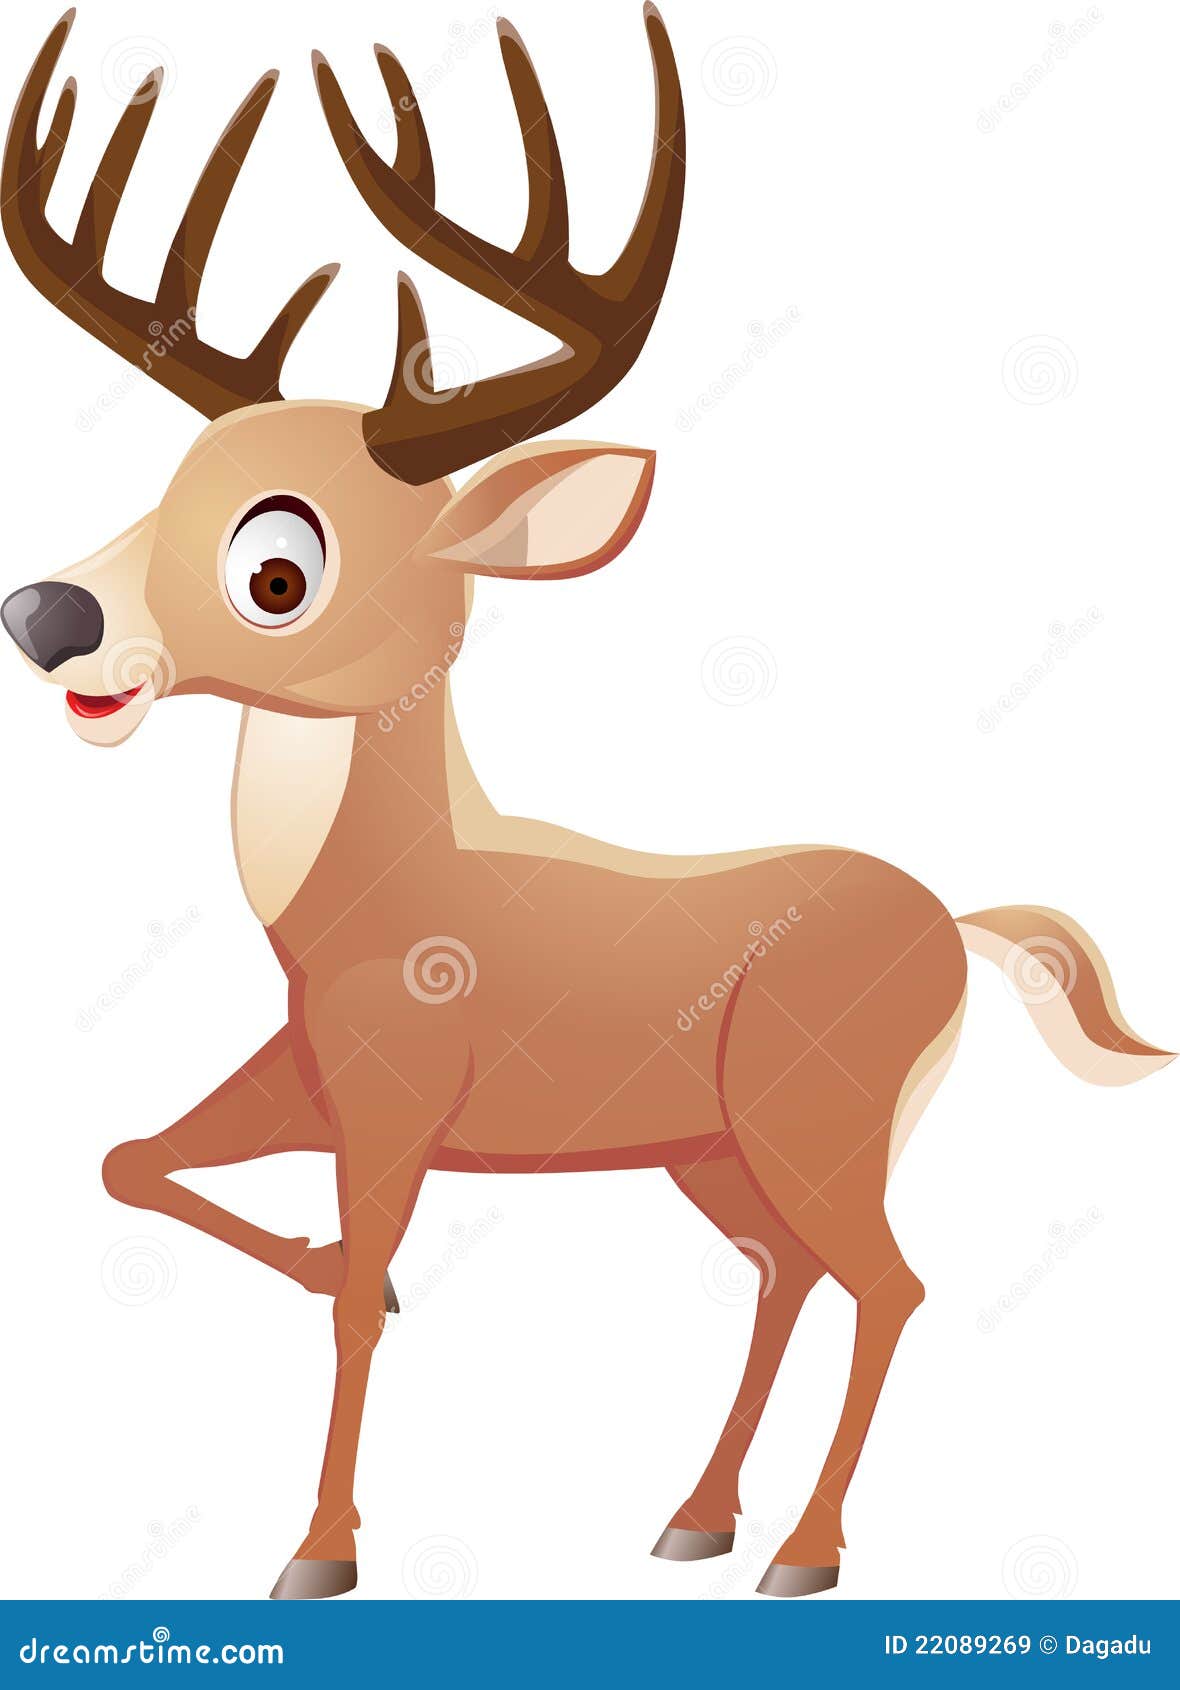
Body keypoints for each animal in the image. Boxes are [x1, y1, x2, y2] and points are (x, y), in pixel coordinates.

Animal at [1, 7, 1172, 1603]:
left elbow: (348, 1303)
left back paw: (800, 1552)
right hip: (716, 1152)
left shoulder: (398, 1097)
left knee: (891, 1279)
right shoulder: (300, 1078)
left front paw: (320, 1547)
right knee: (789, 1270)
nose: (45, 615)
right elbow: (132, 1160)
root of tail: (957, 924)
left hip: (820, 1114)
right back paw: (695, 1515)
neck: (384, 905)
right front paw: (348, 1273)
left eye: (277, 566)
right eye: (161, 485)